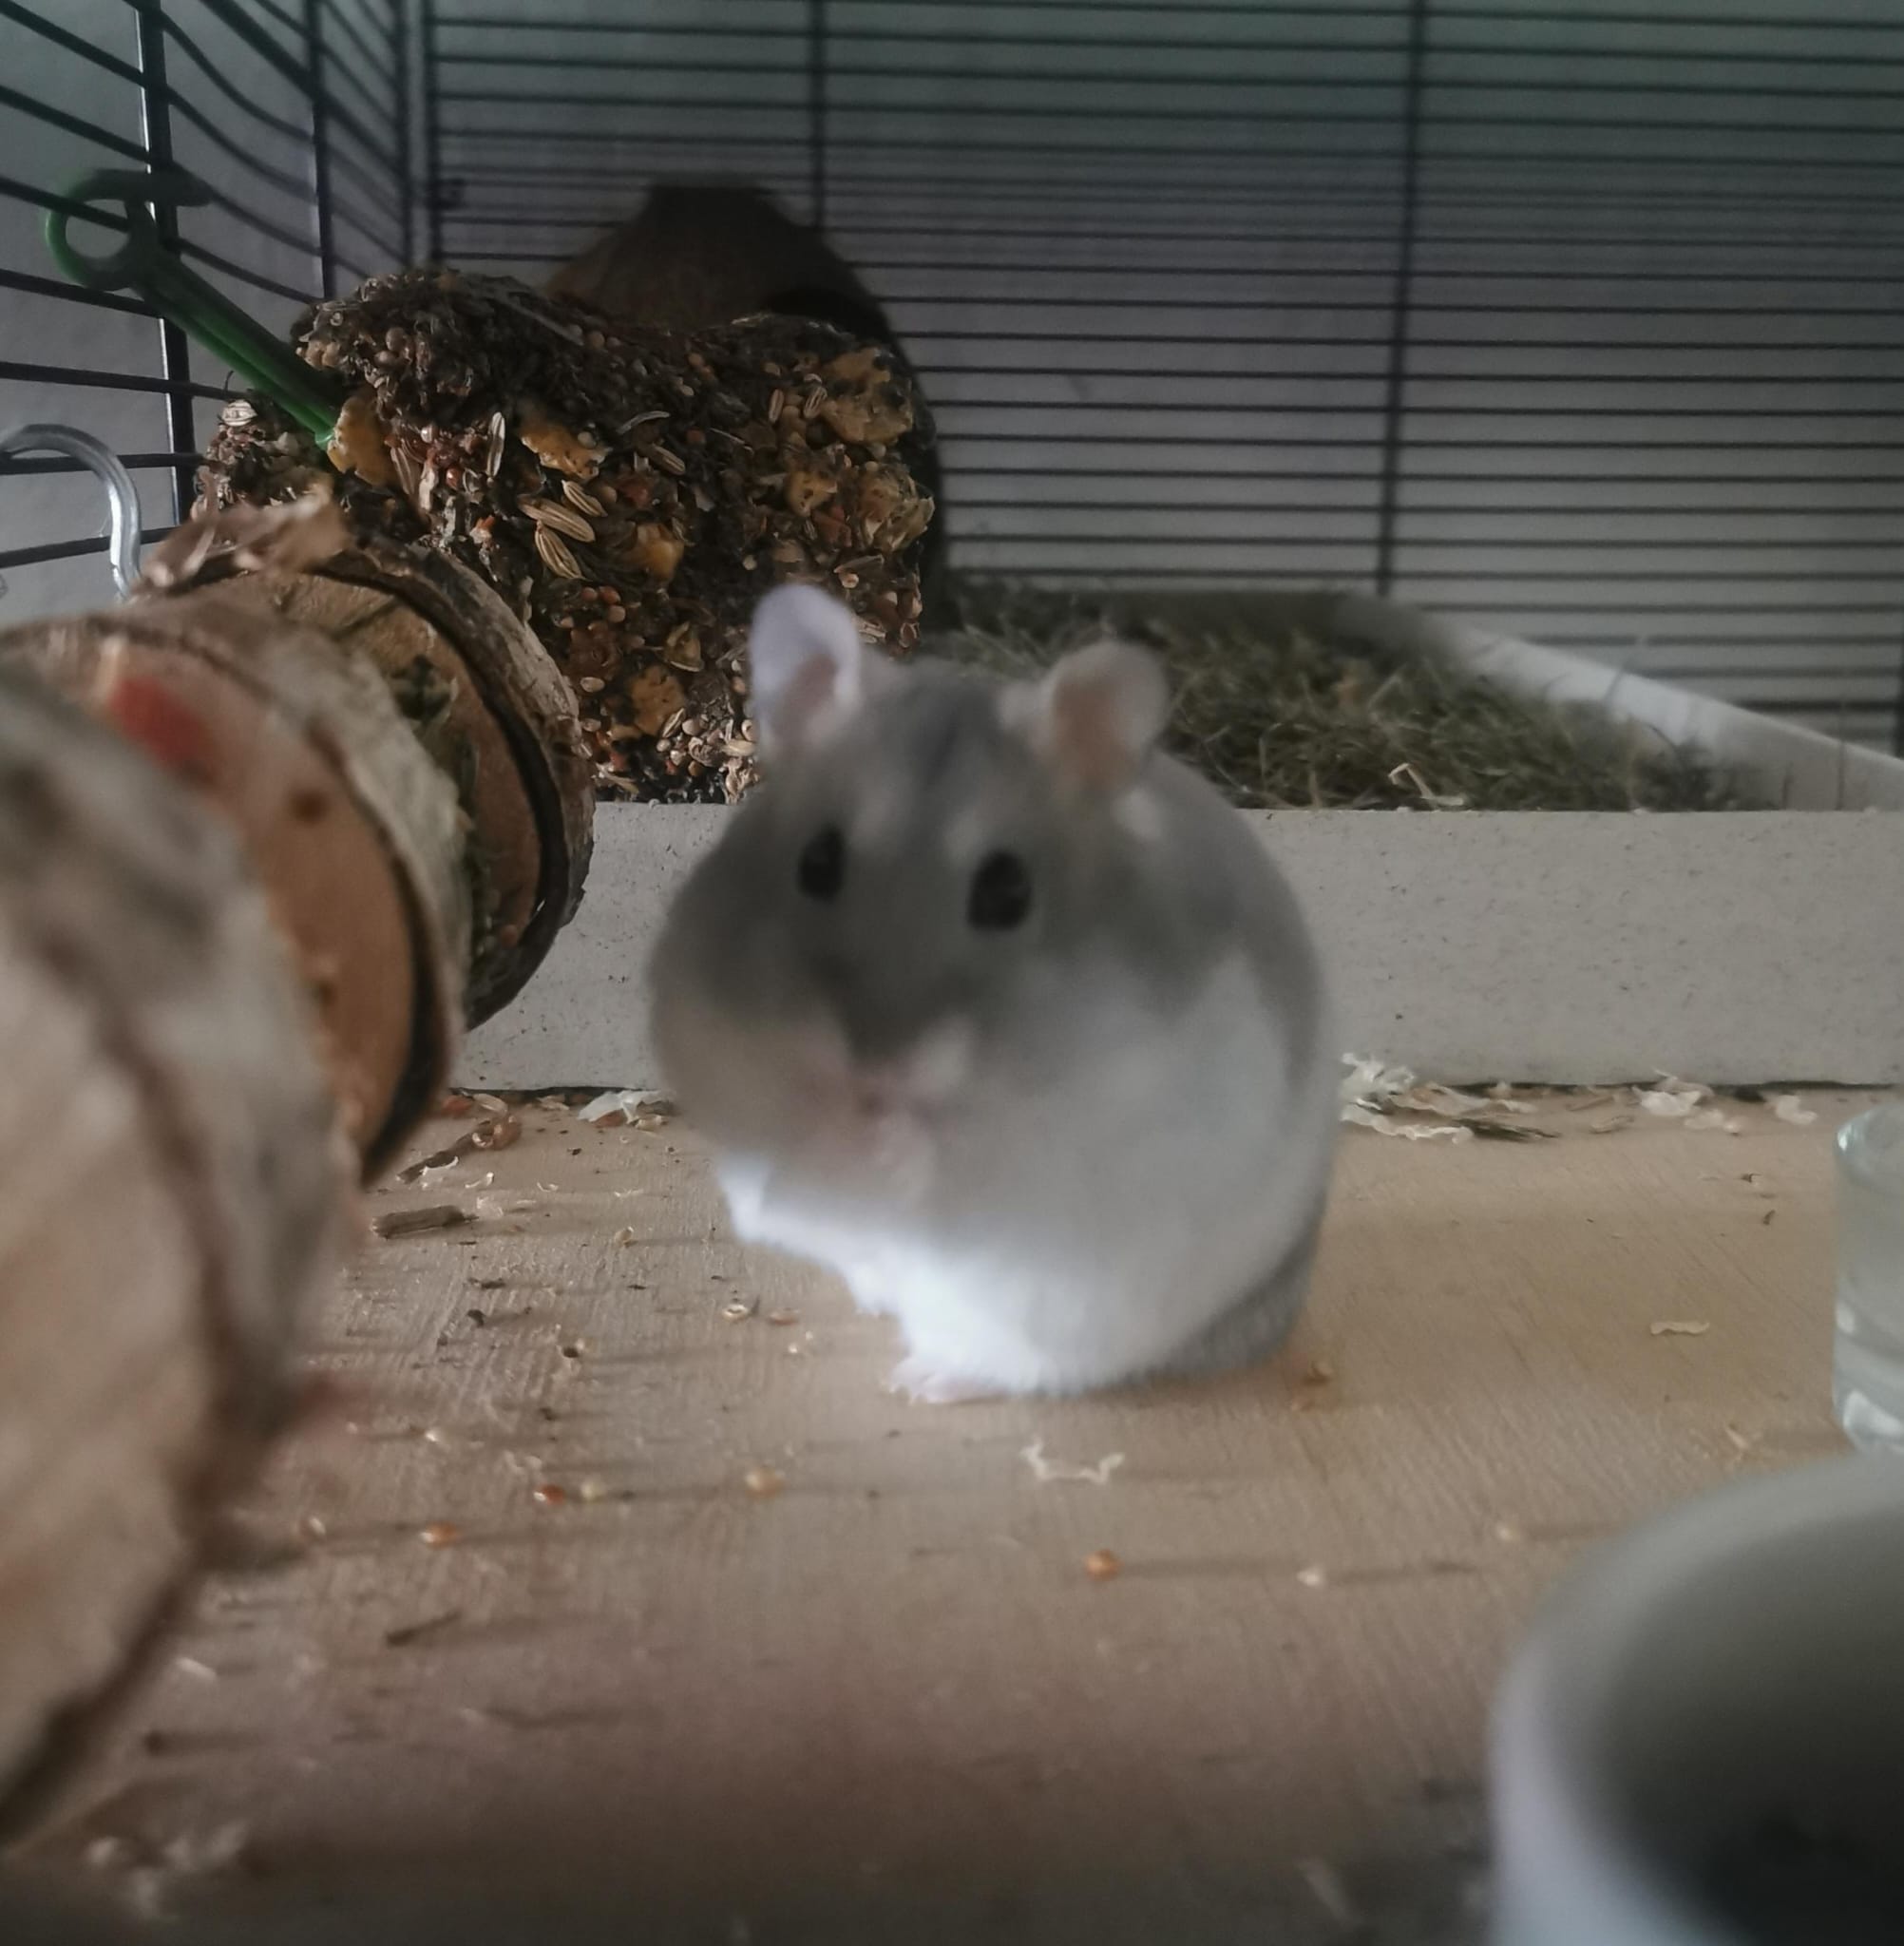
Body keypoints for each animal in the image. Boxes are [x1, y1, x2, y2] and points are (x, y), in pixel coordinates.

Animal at [650, 585, 1338, 1400]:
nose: (874, 1071)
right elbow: (782, 1143)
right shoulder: (717, 1066)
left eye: (1009, 892)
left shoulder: (1082, 1139)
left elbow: (959, 1157)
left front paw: (888, 1140)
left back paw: (921, 1380)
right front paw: (830, 1134)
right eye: (816, 862)